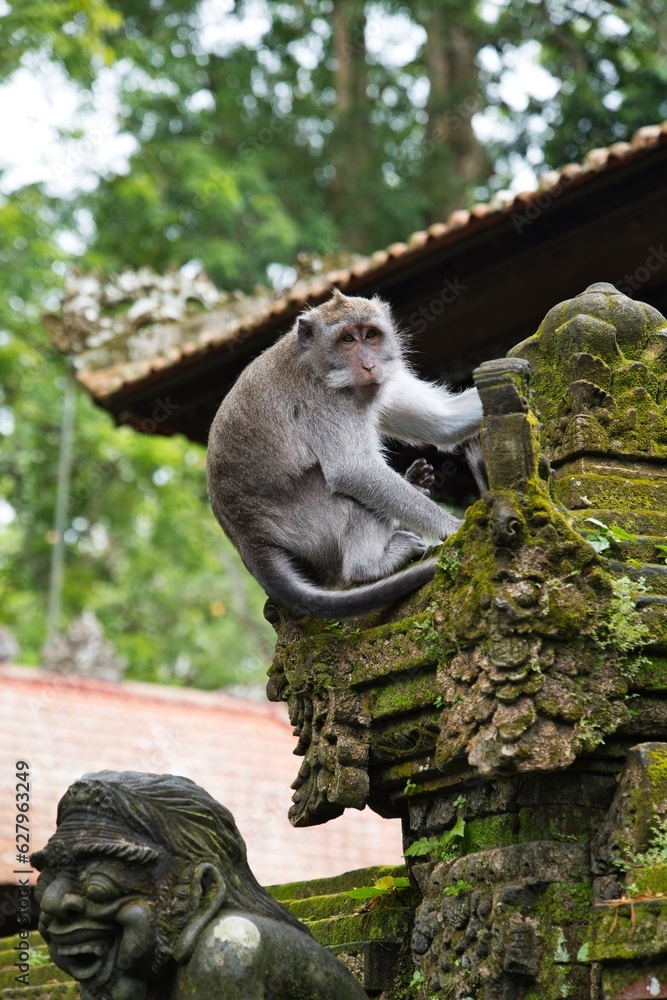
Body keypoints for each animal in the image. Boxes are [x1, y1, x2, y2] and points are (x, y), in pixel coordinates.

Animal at [206, 289, 483, 619]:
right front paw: (456, 527)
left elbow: (444, 422)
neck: (321, 365)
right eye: (347, 339)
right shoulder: (322, 399)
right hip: (305, 525)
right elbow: (354, 471)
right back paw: (369, 567)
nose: (369, 366)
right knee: (354, 498)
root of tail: (250, 540)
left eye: (371, 335)